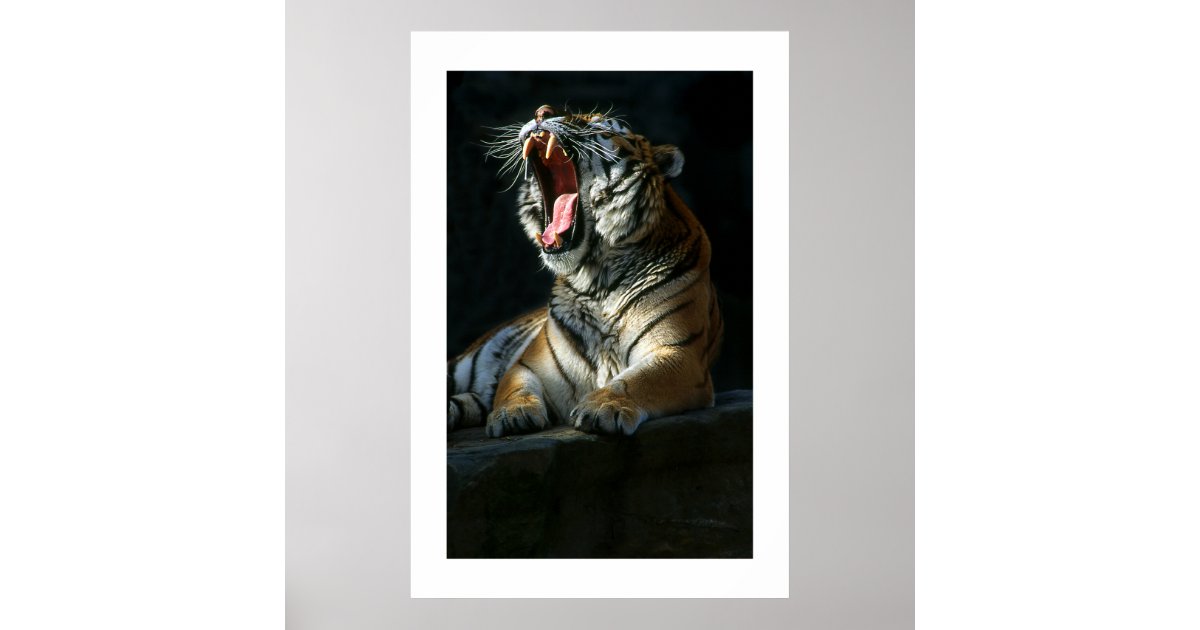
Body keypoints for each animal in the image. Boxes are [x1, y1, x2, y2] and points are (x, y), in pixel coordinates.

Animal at [447, 105, 723, 437]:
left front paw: (603, 408)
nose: (541, 112)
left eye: (598, 125)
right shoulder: (529, 363)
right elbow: (513, 386)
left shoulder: (679, 354)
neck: (596, 279)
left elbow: (634, 382)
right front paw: (513, 414)